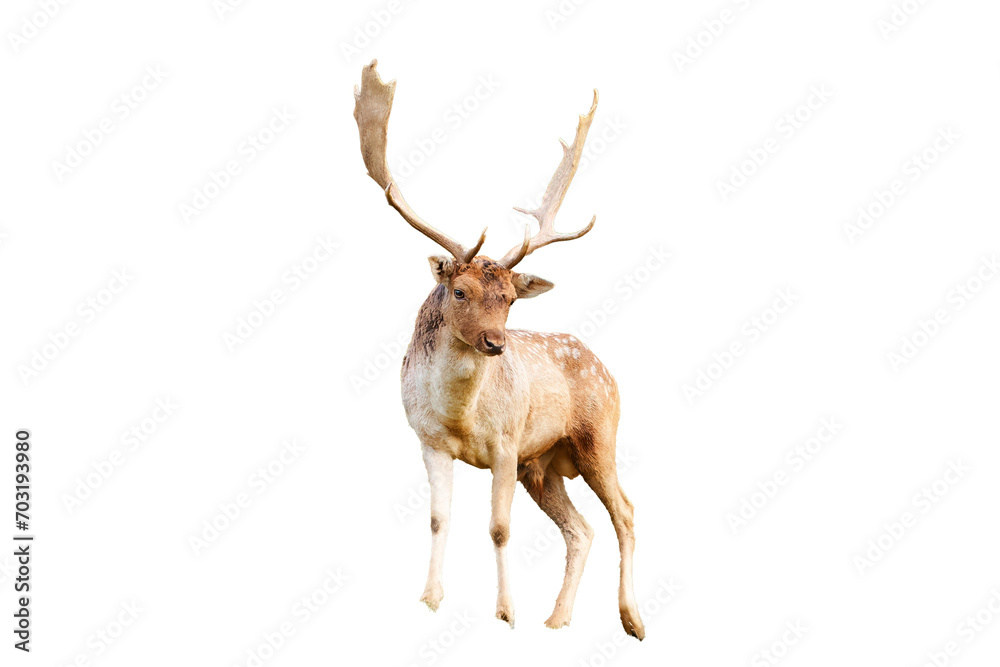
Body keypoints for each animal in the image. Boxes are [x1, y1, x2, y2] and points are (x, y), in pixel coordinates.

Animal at [353, 60, 645, 640]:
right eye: (459, 291)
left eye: (509, 297)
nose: (495, 342)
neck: (460, 418)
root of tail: (606, 368)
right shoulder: (428, 441)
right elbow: (439, 518)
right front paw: (431, 598)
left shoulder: (507, 444)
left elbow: (500, 528)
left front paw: (507, 611)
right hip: (545, 466)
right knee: (580, 528)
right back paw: (557, 619)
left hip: (598, 434)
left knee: (623, 512)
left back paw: (632, 619)